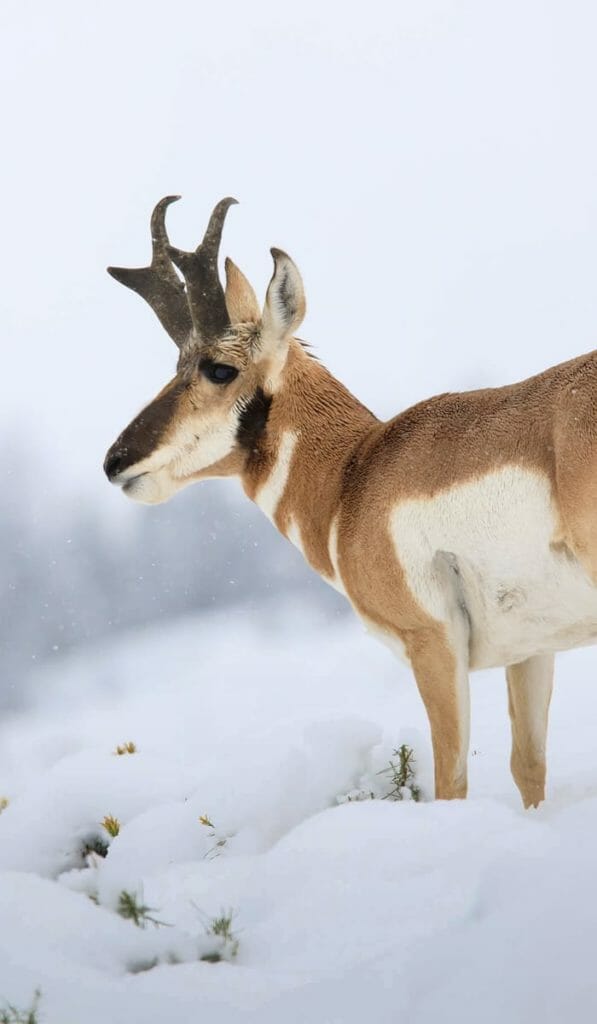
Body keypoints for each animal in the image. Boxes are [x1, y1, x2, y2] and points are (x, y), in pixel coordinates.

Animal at [104, 196, 597, 809]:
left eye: (219, 368)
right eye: (177, 364)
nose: (115, 461)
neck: (352, 475)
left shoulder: (432, 644)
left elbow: (451, 782)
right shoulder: (532, 651)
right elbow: (529, 769)